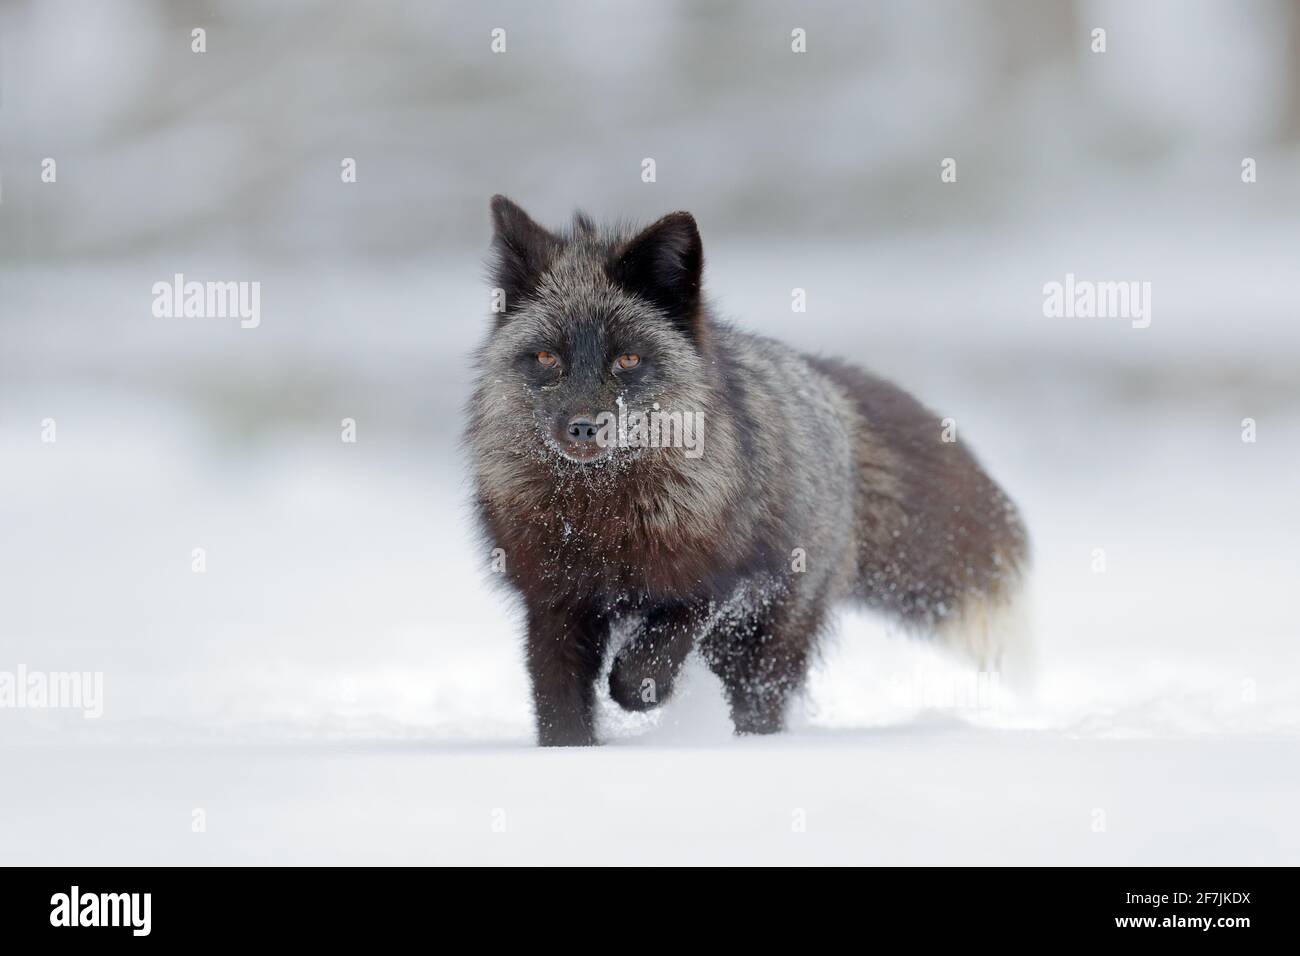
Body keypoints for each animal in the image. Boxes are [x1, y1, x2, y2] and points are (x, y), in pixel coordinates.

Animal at [468, 195, 1029, 746]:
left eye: (627, 359)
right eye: (547, 357)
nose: (584, 427)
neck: (600, 515)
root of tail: (825, 386)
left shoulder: (735, 576)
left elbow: (657, 647)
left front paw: (643, 689)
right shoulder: (553, 604)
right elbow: (559, 711)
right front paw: (570, 755)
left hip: (771, 633)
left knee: (758, 701)